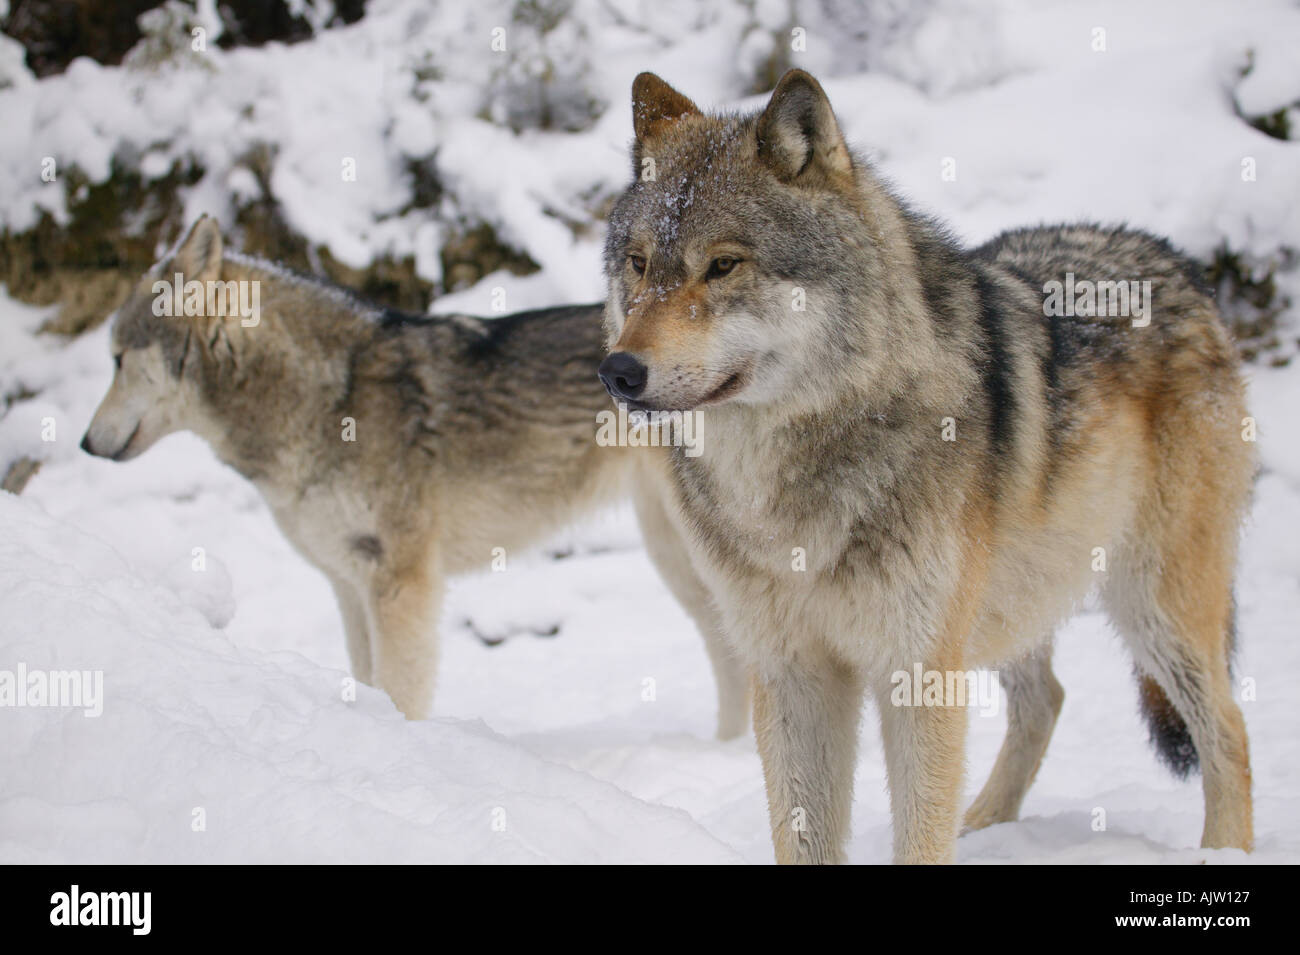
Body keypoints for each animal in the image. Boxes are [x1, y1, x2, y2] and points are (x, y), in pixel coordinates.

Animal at [81, 216, 750, 734]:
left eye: (117, 359)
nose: (85, 443)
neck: (326, 400)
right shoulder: (349, 586)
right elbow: (367, 681)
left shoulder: (402, 584)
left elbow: (400, 693)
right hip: (671, 555)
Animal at [599, 70, 1256, 863]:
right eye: (638, 264)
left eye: (723, 264)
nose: (619, 371)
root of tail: (1177, 264)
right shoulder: (793, 672)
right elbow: (805, 835)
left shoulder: (915, 671)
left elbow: (918, 831)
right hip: (1011, 604)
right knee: (1047, 700)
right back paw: (987, 825)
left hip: (1152, 606)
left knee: (1229, 728)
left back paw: (1224, 854)